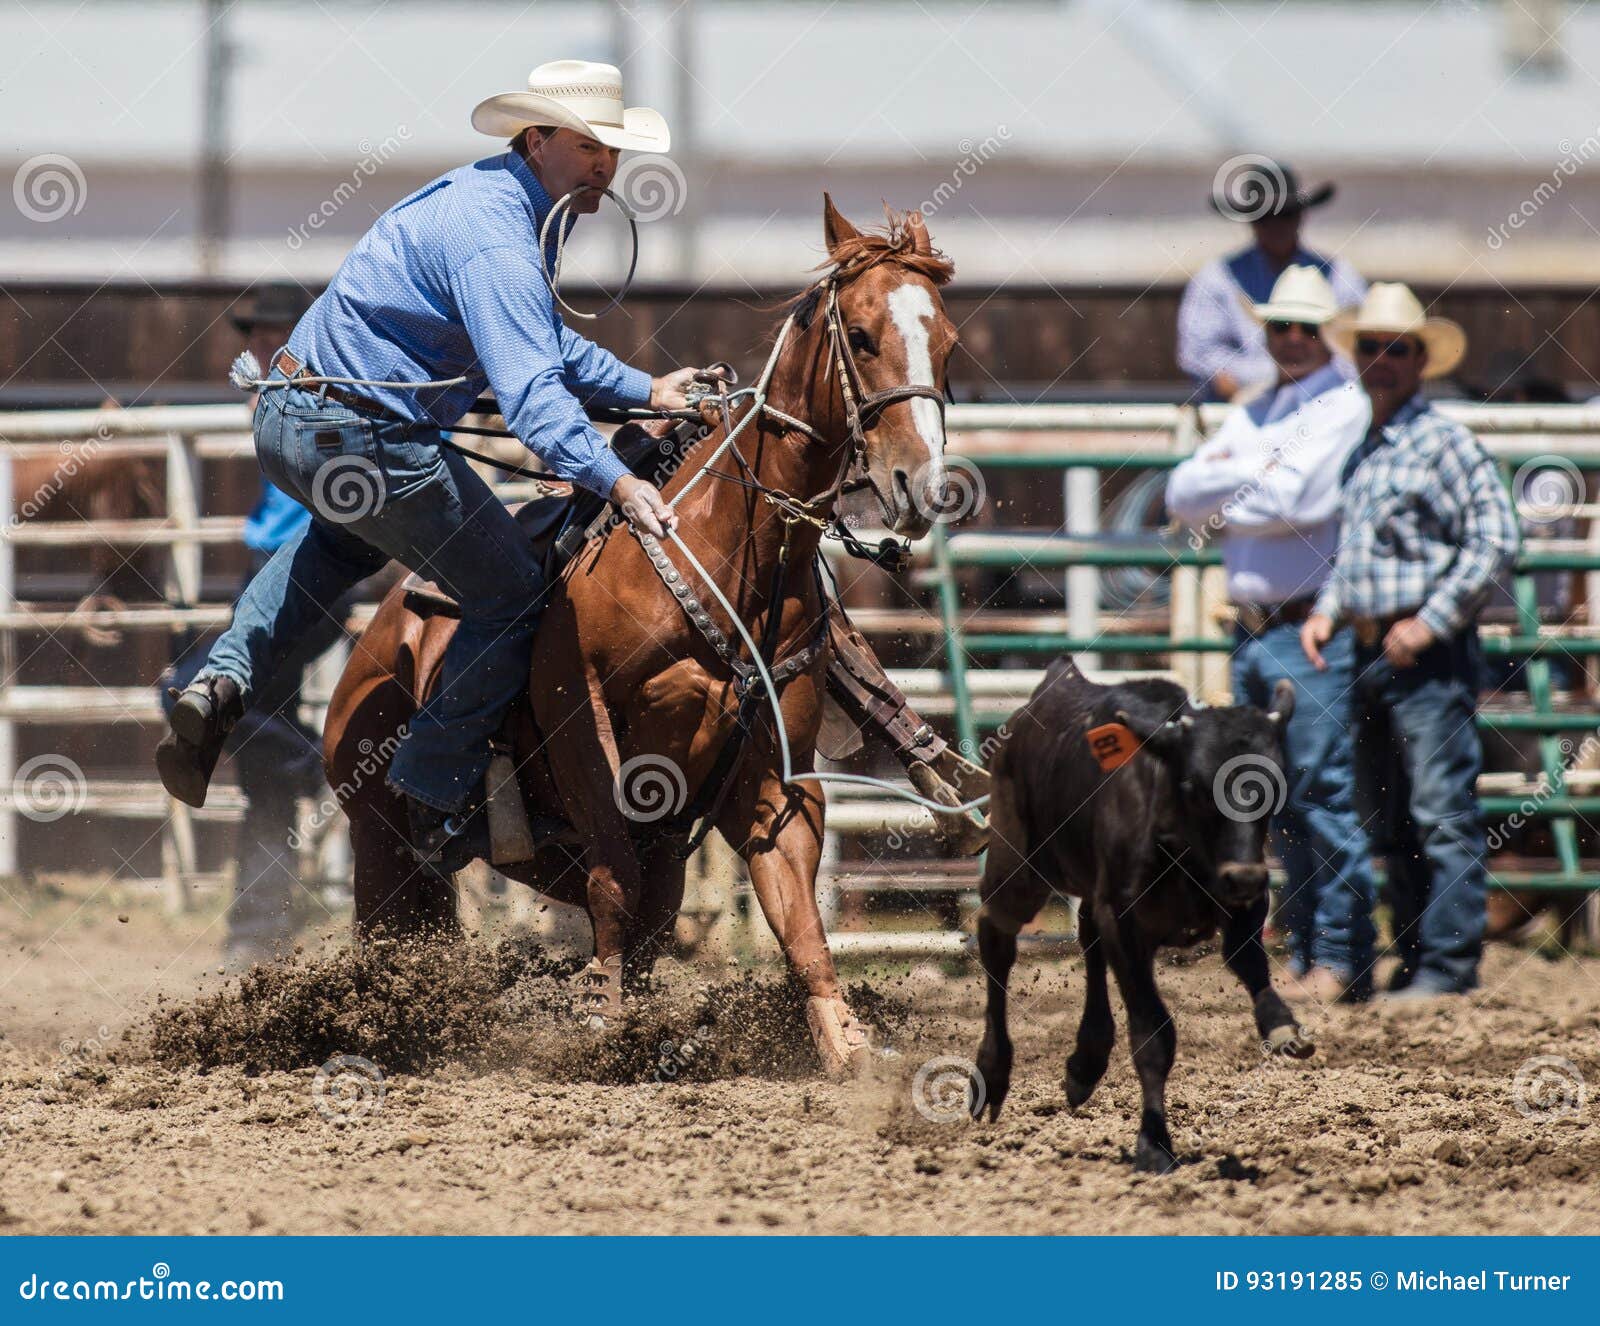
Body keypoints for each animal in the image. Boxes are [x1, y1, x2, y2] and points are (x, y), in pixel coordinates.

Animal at [970, 656, 1312, 1173]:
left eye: (1277, 783)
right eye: (1193, 785)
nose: (1245, 877)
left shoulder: (1244, 900)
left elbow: (1247, 961)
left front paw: (1281, 1022)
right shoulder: (1125, 922)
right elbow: (1153, 1036)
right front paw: (1153, 1144)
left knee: (1087, 936)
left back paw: (1085, 1061)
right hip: (1018, 863)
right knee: (997, 938)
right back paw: (993, 1071)